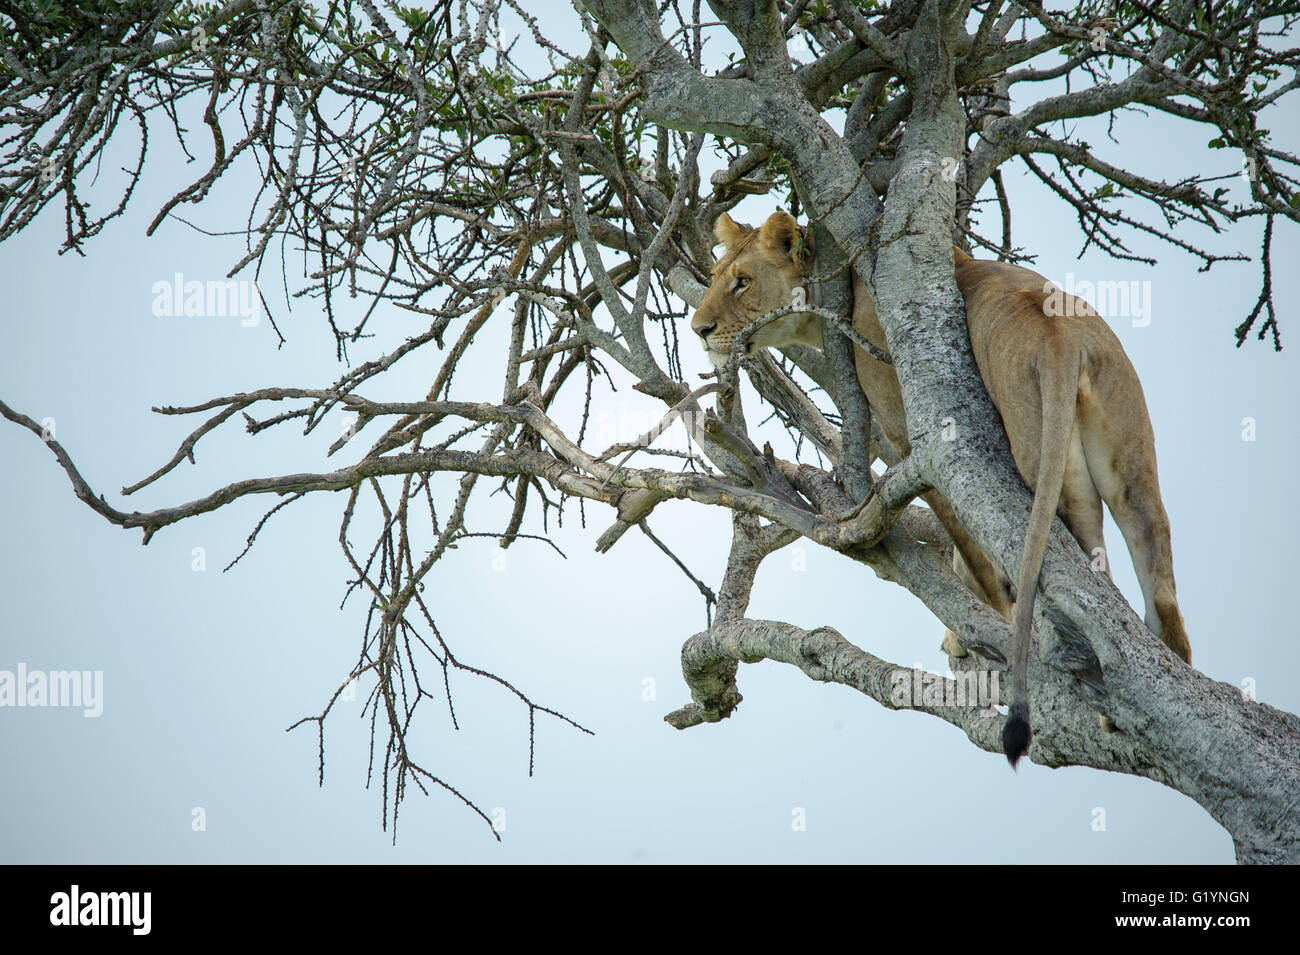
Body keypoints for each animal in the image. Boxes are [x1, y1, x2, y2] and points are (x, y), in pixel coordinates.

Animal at [692, 210, 1191, 766]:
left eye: (742, 282)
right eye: (715, 277)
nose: (698, 329)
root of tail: (1058, 333)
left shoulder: (915, 438)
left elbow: (968, 548)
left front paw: (977, 628)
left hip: (1035, 449)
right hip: (1128, 455)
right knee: (1154, 567)